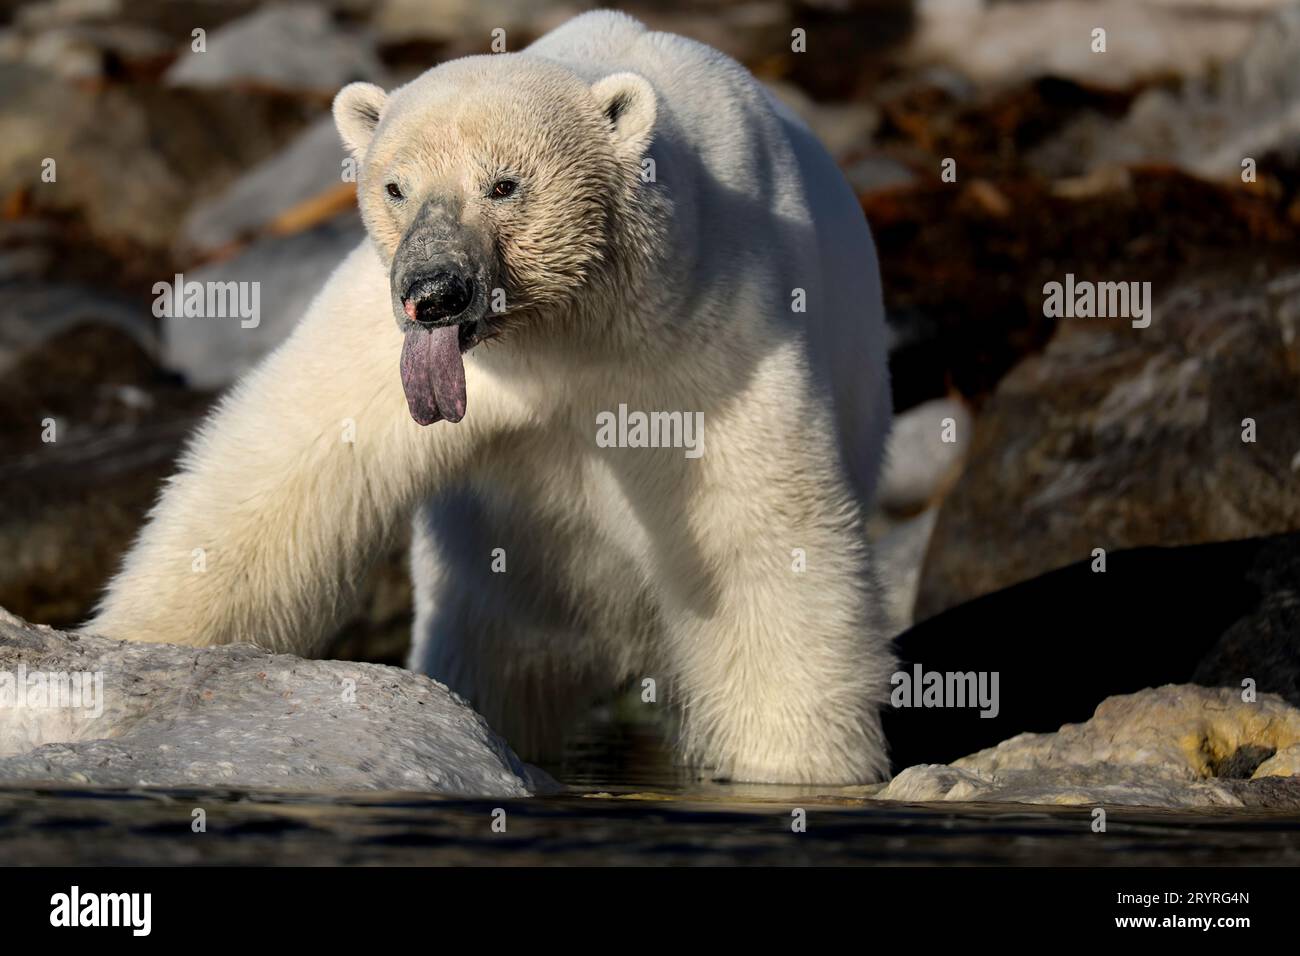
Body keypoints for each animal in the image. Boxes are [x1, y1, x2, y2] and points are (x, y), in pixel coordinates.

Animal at [86, 10, 895, 785]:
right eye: (396, 186)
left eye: (505, 184)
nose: (434, 292)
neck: (561, 327)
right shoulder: (406, 348)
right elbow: (282, 472)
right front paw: (137, 654)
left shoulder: (710, 326)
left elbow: (755, 533)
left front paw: (800, 763)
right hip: (507, 587)